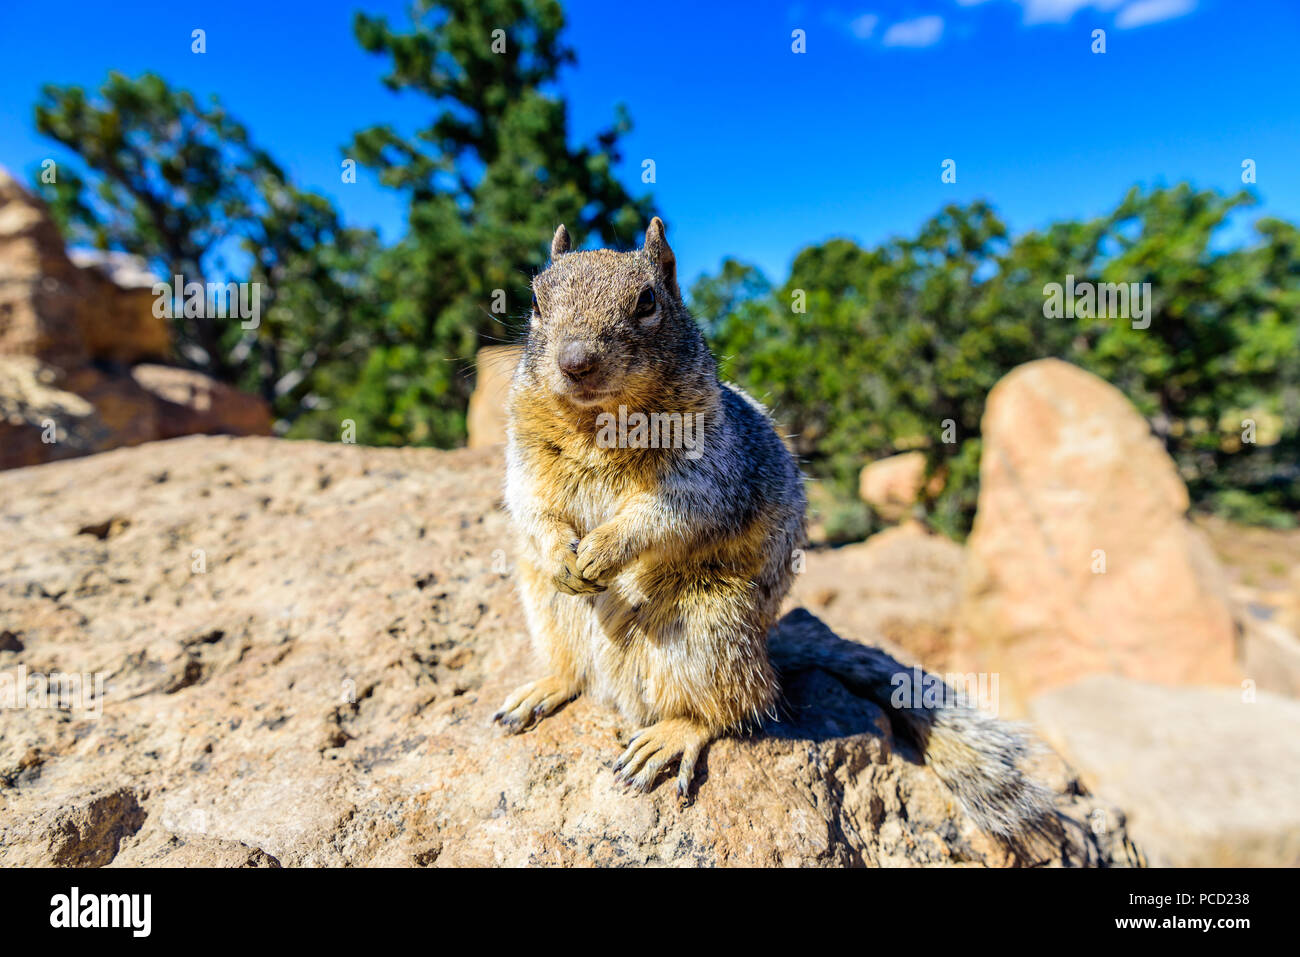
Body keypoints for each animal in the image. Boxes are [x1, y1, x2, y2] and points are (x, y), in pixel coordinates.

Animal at [494, 217, 1060, 851]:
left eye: (647, 302)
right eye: (535, 302)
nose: (575, 362)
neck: (598, 422)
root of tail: (769, 648)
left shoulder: (711, 471)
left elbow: (667, 517)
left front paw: (607, 554)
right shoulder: (525, 458)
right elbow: (530, 505)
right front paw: (565, 555)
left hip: (708, 626)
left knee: (734, 708)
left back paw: (667, 735)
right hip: (546, 609)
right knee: (578, 671)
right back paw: (543, 687)